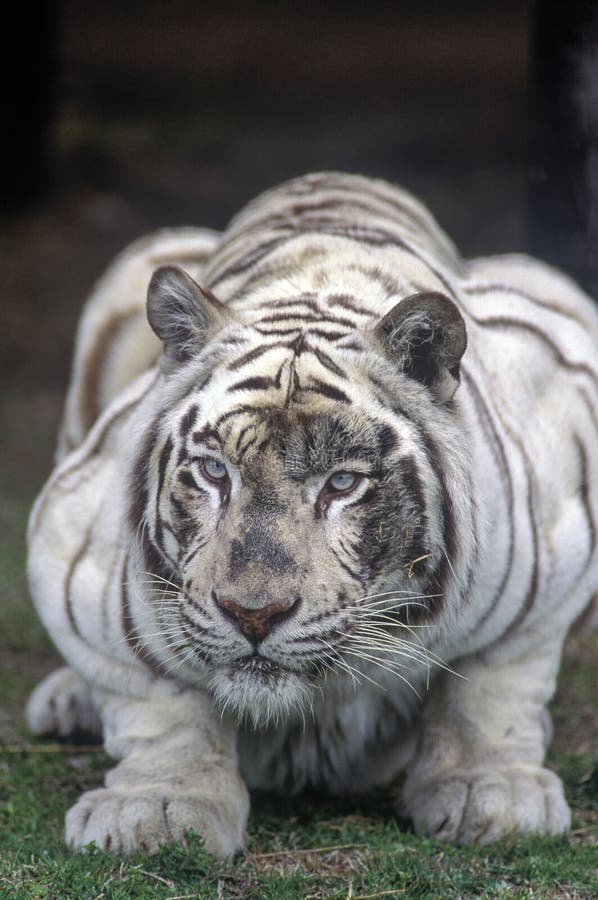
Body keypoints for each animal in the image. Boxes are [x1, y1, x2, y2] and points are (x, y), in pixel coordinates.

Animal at [26, 172, 598, 856]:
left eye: (342, 483)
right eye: (215, 472)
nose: (254, 614)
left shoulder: (557, 532)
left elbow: (492, 682)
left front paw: (492, 792)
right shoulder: (73, 547)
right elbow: (159, 698)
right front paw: (157, 807)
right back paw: (67, 703)